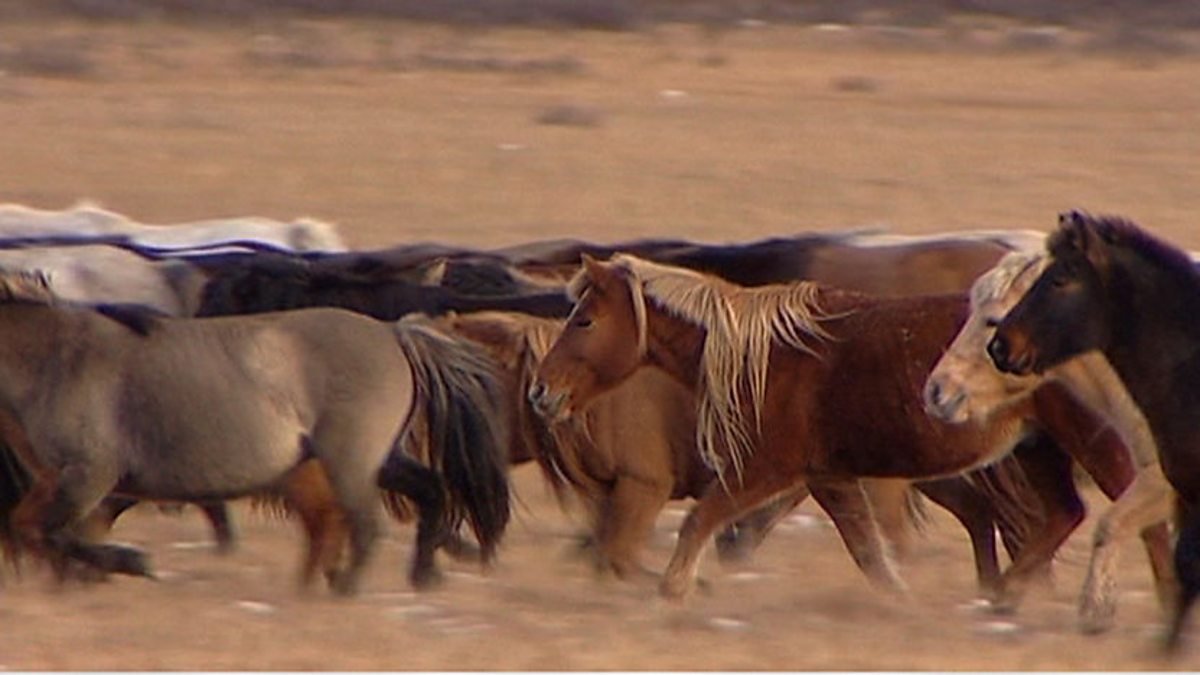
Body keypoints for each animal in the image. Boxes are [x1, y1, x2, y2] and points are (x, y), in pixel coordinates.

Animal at [0, 271, 508, 594]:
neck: (59, 357)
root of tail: (392, 333)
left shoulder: (92, 474)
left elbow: (56, 532)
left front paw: (131, 563)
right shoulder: (64, 482)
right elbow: (32, 526)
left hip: (350, 461)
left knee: (365, 525)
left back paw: (344, 589)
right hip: (380, 459)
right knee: (430, 490)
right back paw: (423, 576)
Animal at [528, 254, 1148, 605]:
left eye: (585, 320)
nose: (540, 391)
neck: (755, 354)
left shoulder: (765, 470)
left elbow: (699, 520)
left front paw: (675, 592)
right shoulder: (828, 479)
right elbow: (869, 553)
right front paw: (902, 602)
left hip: (1100, 447)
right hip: (1039, 448)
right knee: (1061, 516)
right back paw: (1005, 594)